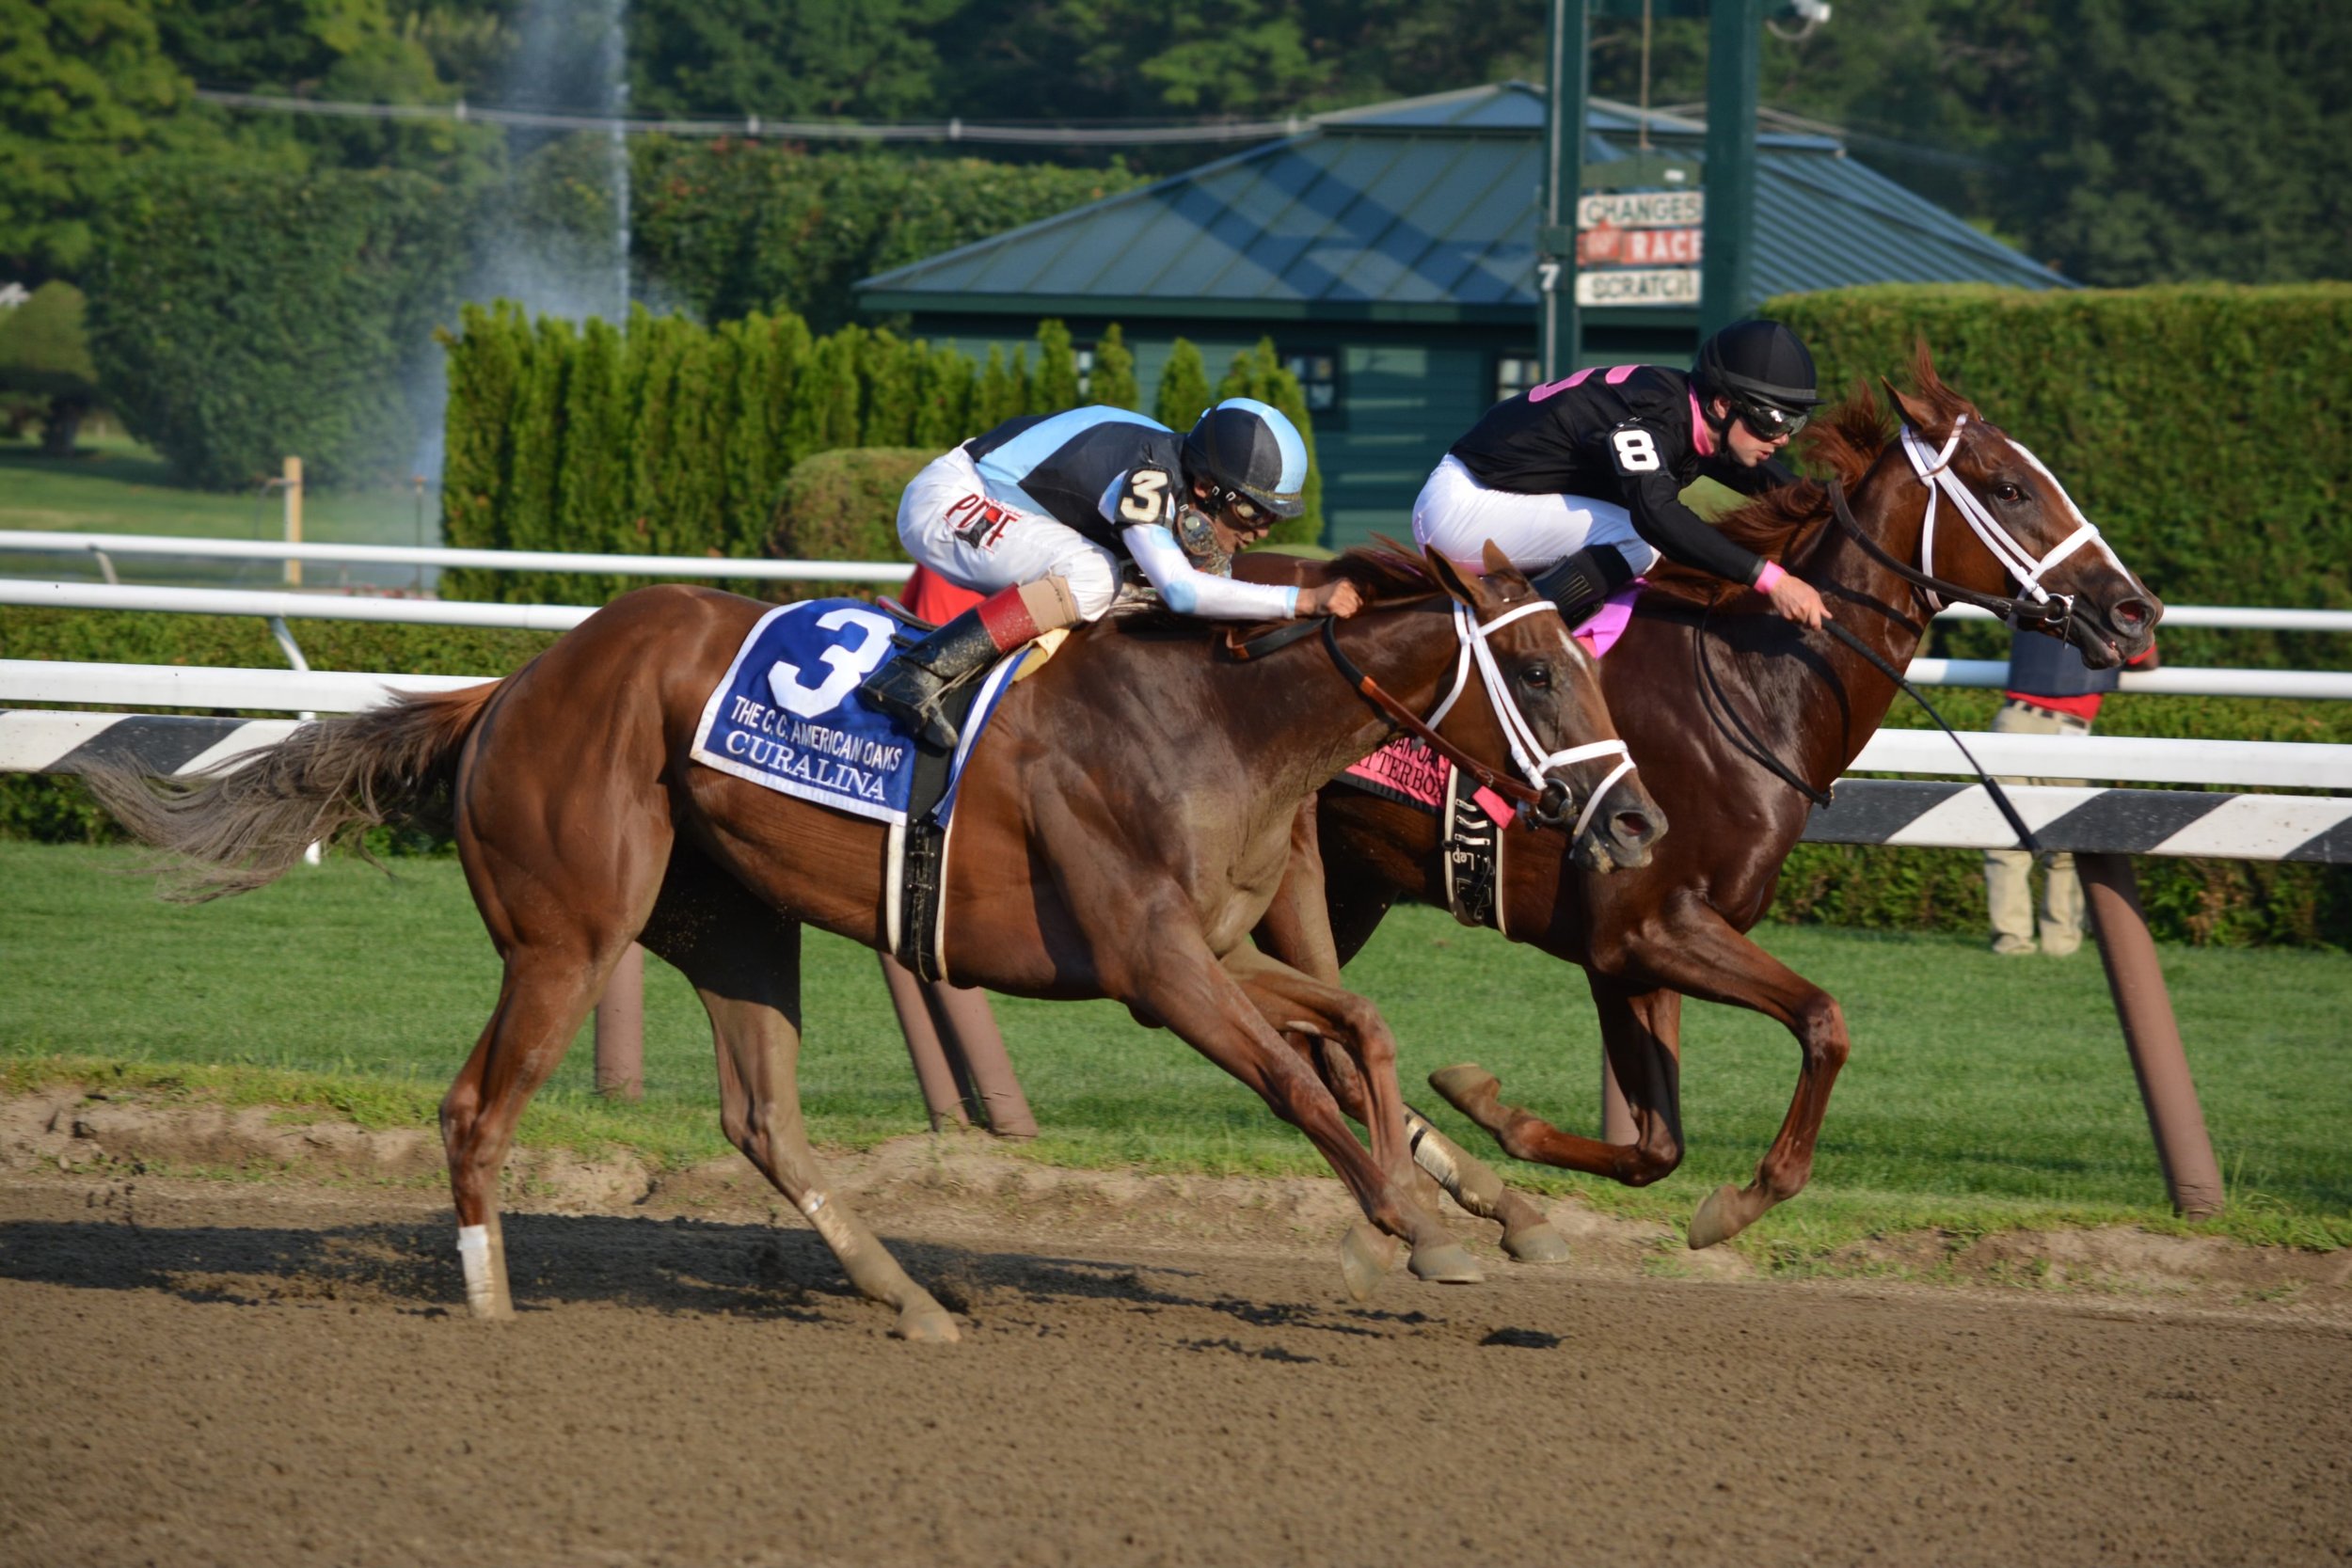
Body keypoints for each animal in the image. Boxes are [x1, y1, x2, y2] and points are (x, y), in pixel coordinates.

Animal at [85, 543, 1665, 1340]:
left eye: (1589, 659)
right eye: (1537, 668)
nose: (1641, 819)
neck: (1218, 720)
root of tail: (514, 680)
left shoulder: (1217, 947)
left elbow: (1359, 1029)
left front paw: (1452, 1214)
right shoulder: (1156, 968)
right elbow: (1290, 1073)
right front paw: (1407, 1221)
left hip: (732, 918)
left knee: (761, 1117)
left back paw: (910, 1297)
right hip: (569, 927)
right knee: (479, 1103)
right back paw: (489, 1304)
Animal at [1252, 348, 2161, 1254]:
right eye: (2010, 488)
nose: (2135, 608)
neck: (1752, 684)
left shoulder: (1631, 956)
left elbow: (1657, 1145)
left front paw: (1488, 1109)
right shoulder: (1646, 928)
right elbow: (1823, 1020)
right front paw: (1746, 1197)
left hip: (1354, 885)